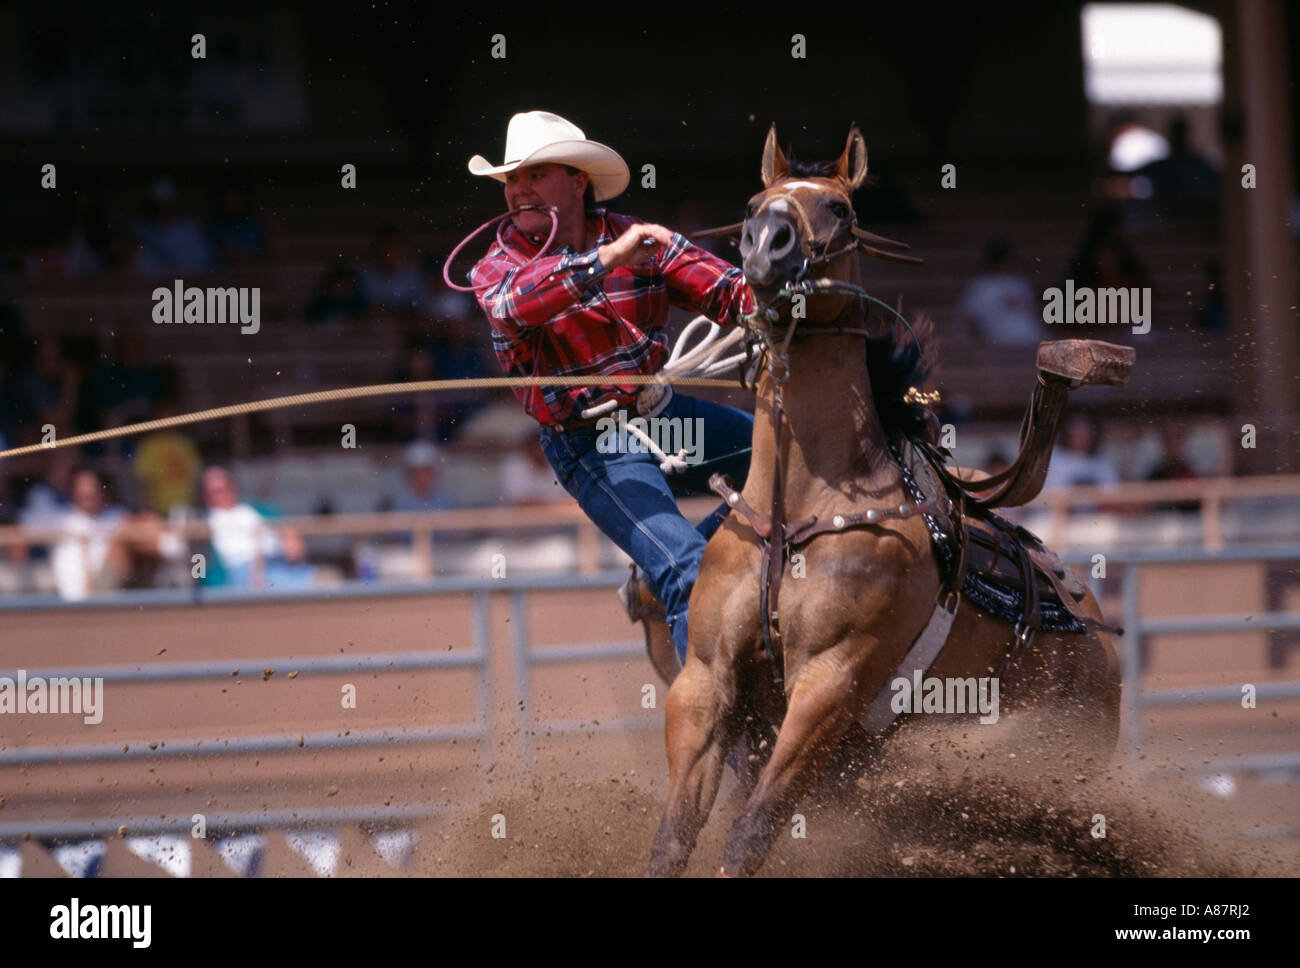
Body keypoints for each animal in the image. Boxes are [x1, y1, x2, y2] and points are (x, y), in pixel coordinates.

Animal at [637, 125, 1125, 877]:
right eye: (752, 204)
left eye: (840, 208)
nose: (766, 245)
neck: (796, 512)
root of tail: (1096, 632)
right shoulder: (707, 681)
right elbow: (674, 835)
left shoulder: (831, 685)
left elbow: (752, 827)